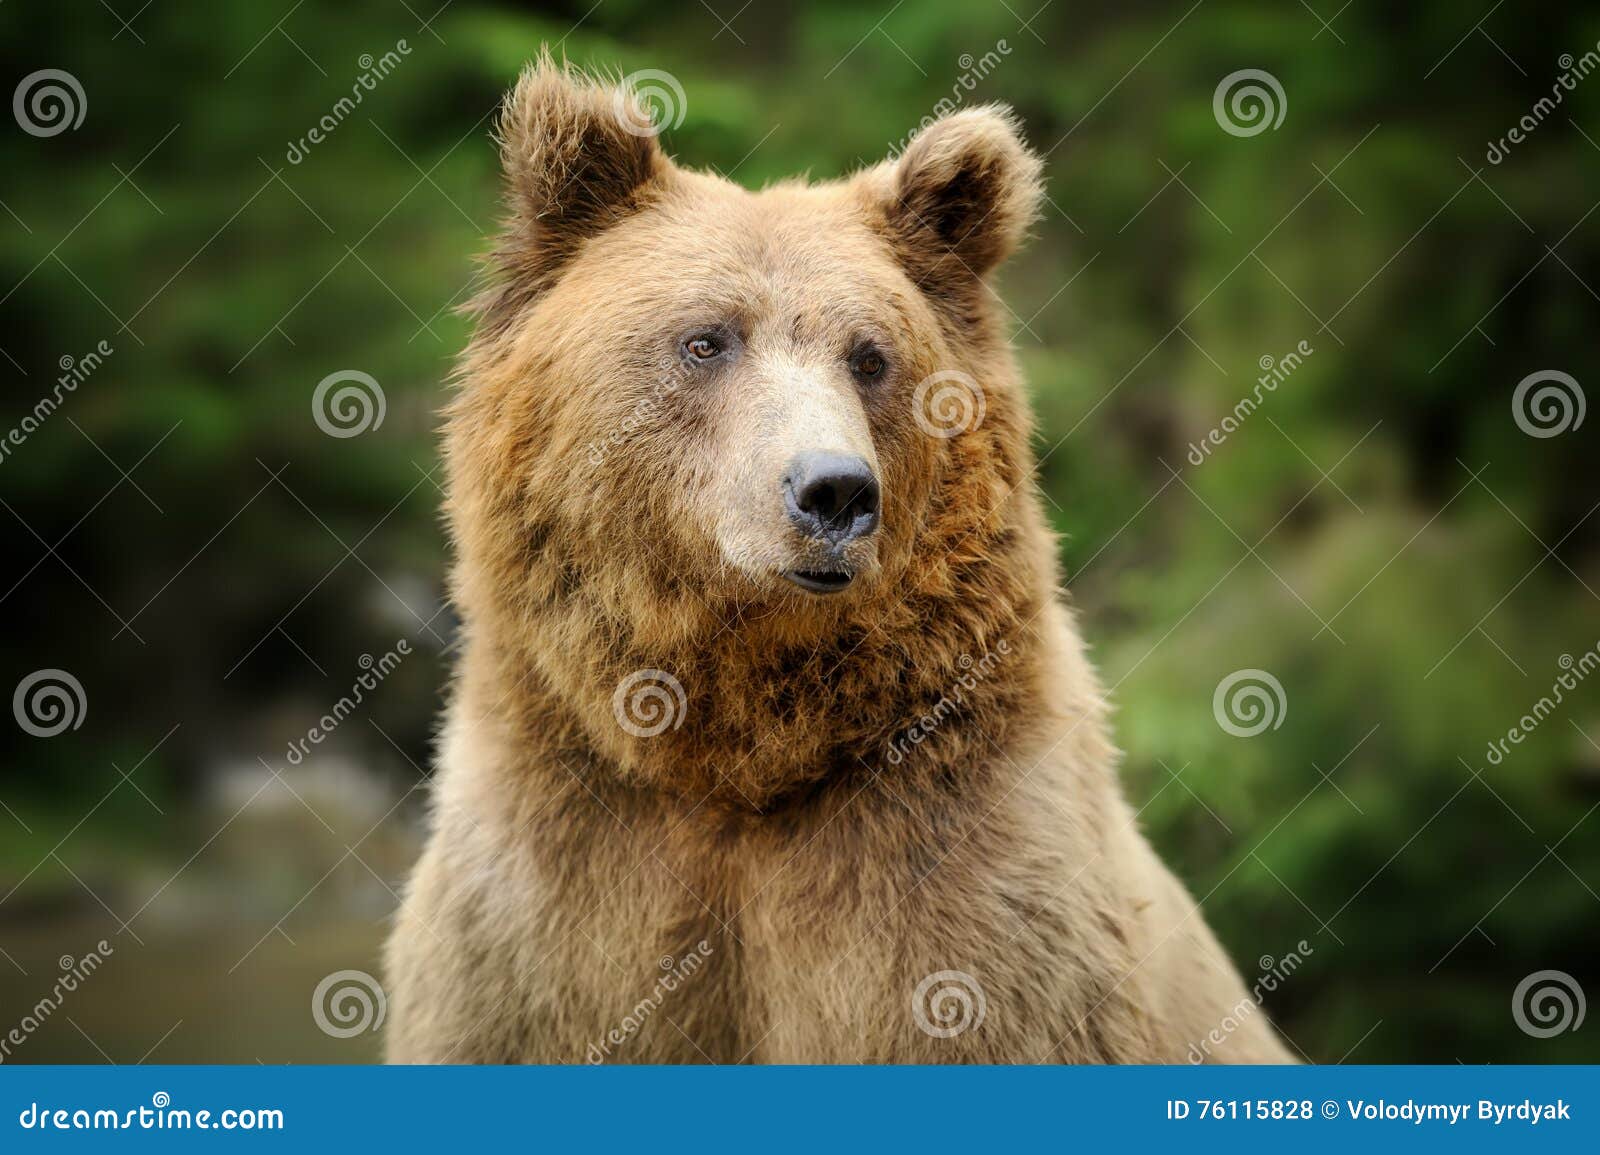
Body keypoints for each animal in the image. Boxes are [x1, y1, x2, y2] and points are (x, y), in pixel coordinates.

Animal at [383, 54, 1295, 1065]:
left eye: (870, 356)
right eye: (707, 339)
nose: (835, 491)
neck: (734, 749)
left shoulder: (966, 893)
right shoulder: (548, 891)